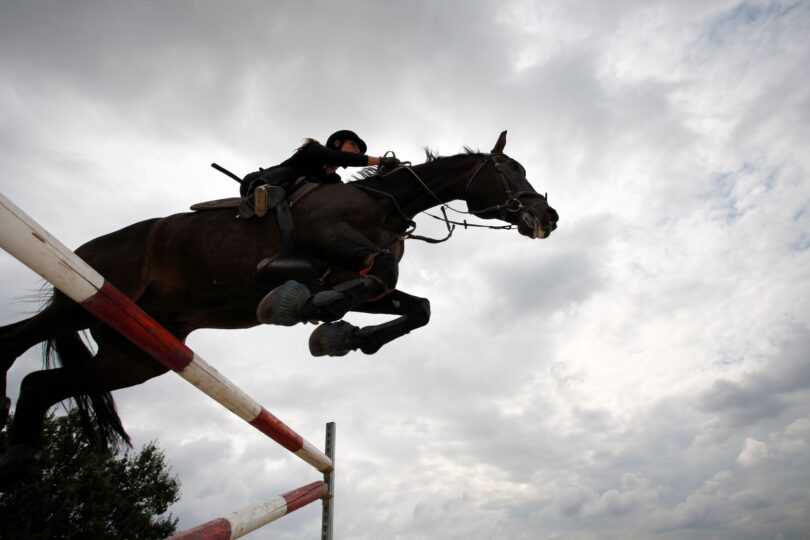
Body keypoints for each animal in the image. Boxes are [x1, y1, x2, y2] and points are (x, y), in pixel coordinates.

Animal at [0, 131, 558, 482]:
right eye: (509, 171)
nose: (548, 217)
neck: (387, 203)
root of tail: (85, 248)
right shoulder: (326, 238)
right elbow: (374, 271)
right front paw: (307, 306)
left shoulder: (367, 283)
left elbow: (414, 305)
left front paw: (339, 334)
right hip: (83, 299)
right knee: (13, 343)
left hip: (134, 356)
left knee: (42, 384)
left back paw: (22, 460)